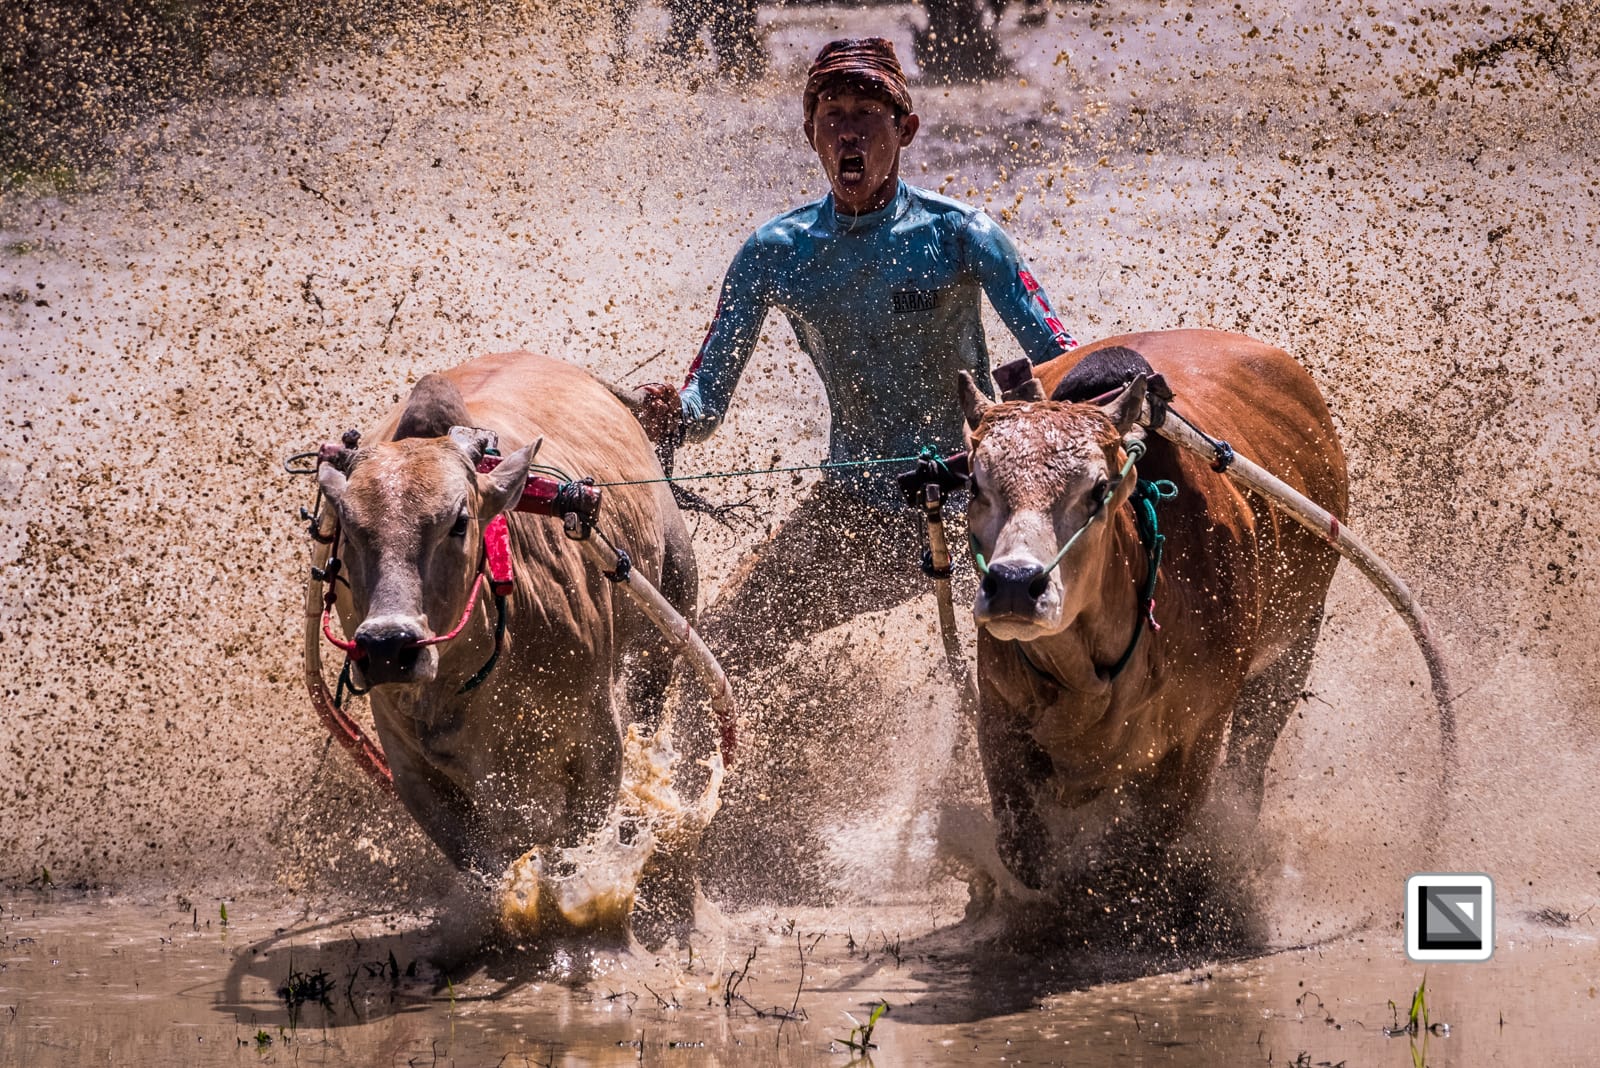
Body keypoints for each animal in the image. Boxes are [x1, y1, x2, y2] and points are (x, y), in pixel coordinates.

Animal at [312, 351, 707, 936]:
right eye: (350, 526)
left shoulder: (596, 738)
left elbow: (575, 851)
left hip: (668, 625)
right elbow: (485, 867)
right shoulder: (409, 765)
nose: (387, 647)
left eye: (459, 521)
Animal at [956, 329, 1349, 891]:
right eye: (974, 483)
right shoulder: (998, 715)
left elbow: (1141, 847)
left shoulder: (1198, 735)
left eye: (1099, 489)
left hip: (1294, 649)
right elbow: (1024, 850)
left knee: (1251, 758)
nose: (1013, 585)